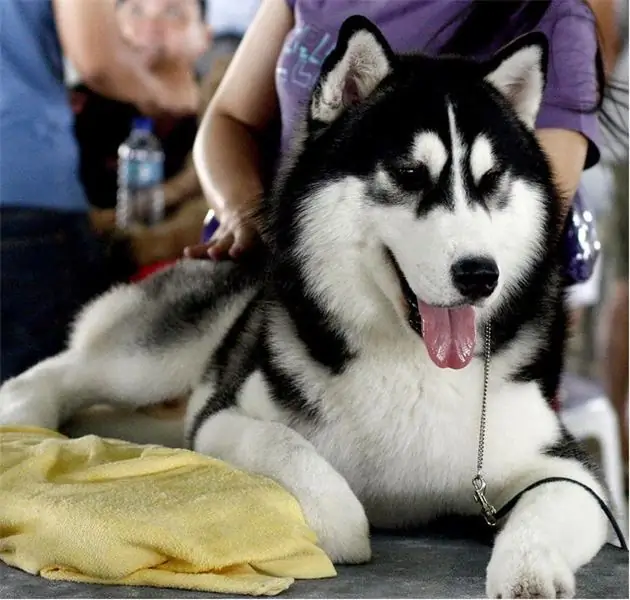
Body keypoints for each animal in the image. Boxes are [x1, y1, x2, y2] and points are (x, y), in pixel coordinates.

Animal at [0, 16, 612, 596]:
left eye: (490, 180)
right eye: (410, 174)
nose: (481, 275)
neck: (409, 360)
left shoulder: (564, 466)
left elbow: (552, 509)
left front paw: (530, 573)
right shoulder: (220, 417)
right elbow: (299, 462)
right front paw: (339, 525)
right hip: (161, 357)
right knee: (72, 369)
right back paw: (26, 410)